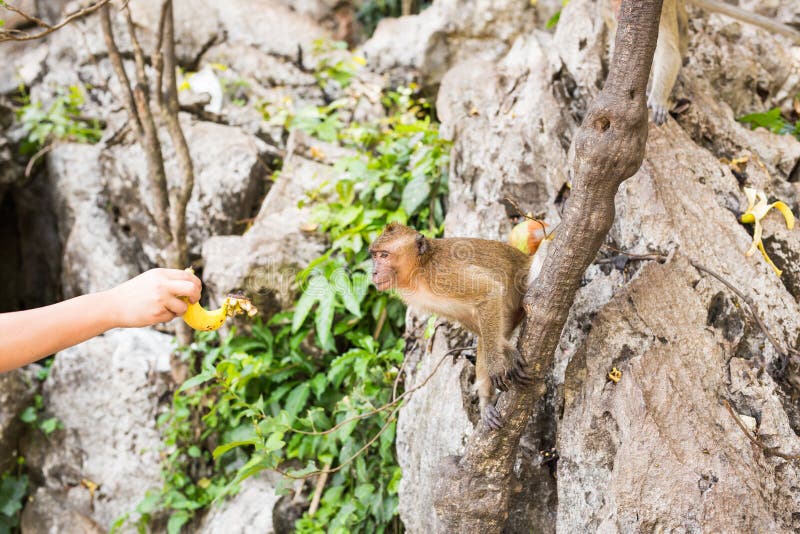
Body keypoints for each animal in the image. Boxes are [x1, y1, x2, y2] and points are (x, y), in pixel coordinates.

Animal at [369, 222, 545, 430]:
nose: (374, 272)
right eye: (374, 255)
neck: (420, 268)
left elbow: (489, 292)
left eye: (384, 255)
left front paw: (497, 364)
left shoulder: (443, 276)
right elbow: (474, 323)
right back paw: (486, 402)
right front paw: (508, 354)